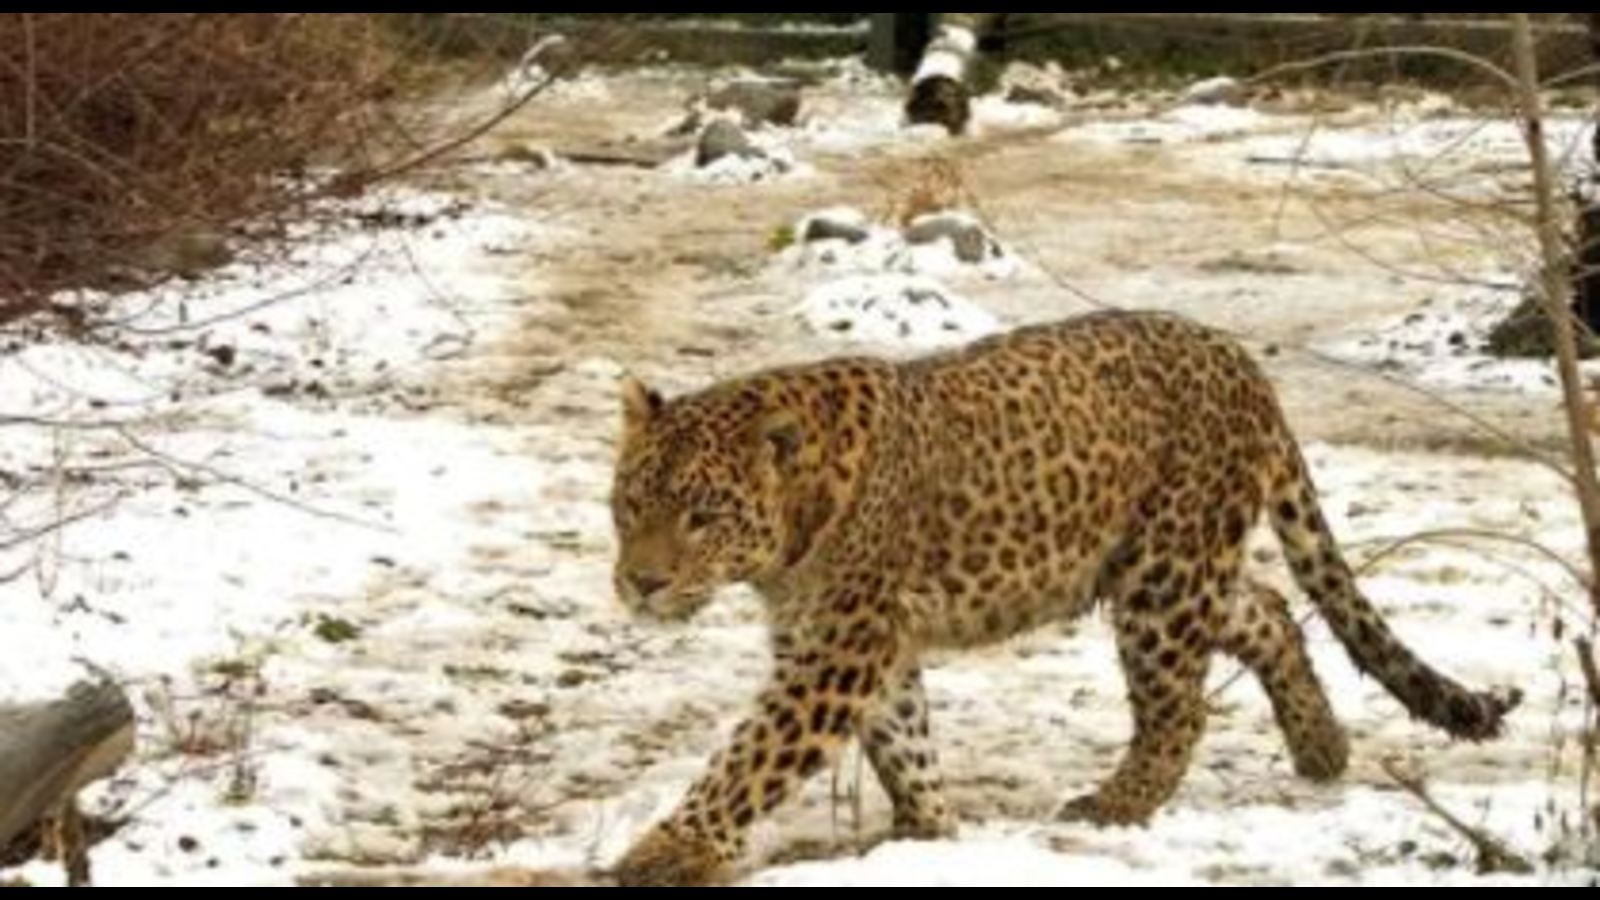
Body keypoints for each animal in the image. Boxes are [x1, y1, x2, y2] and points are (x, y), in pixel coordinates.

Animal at [607, 311, 1520, 886]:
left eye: (702, 515)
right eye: (629, 505)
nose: (641, 583)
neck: (796, 522)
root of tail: (1242, 362)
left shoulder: (841, 647)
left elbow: (752, 756)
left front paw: (664, 854)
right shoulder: (858, 642)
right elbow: (905, 741)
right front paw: (926, 835)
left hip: (1165, 573)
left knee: (1179, 707)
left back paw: (1114, 805)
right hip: (1164, 567)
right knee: (1265, 609)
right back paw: (1320, 745)